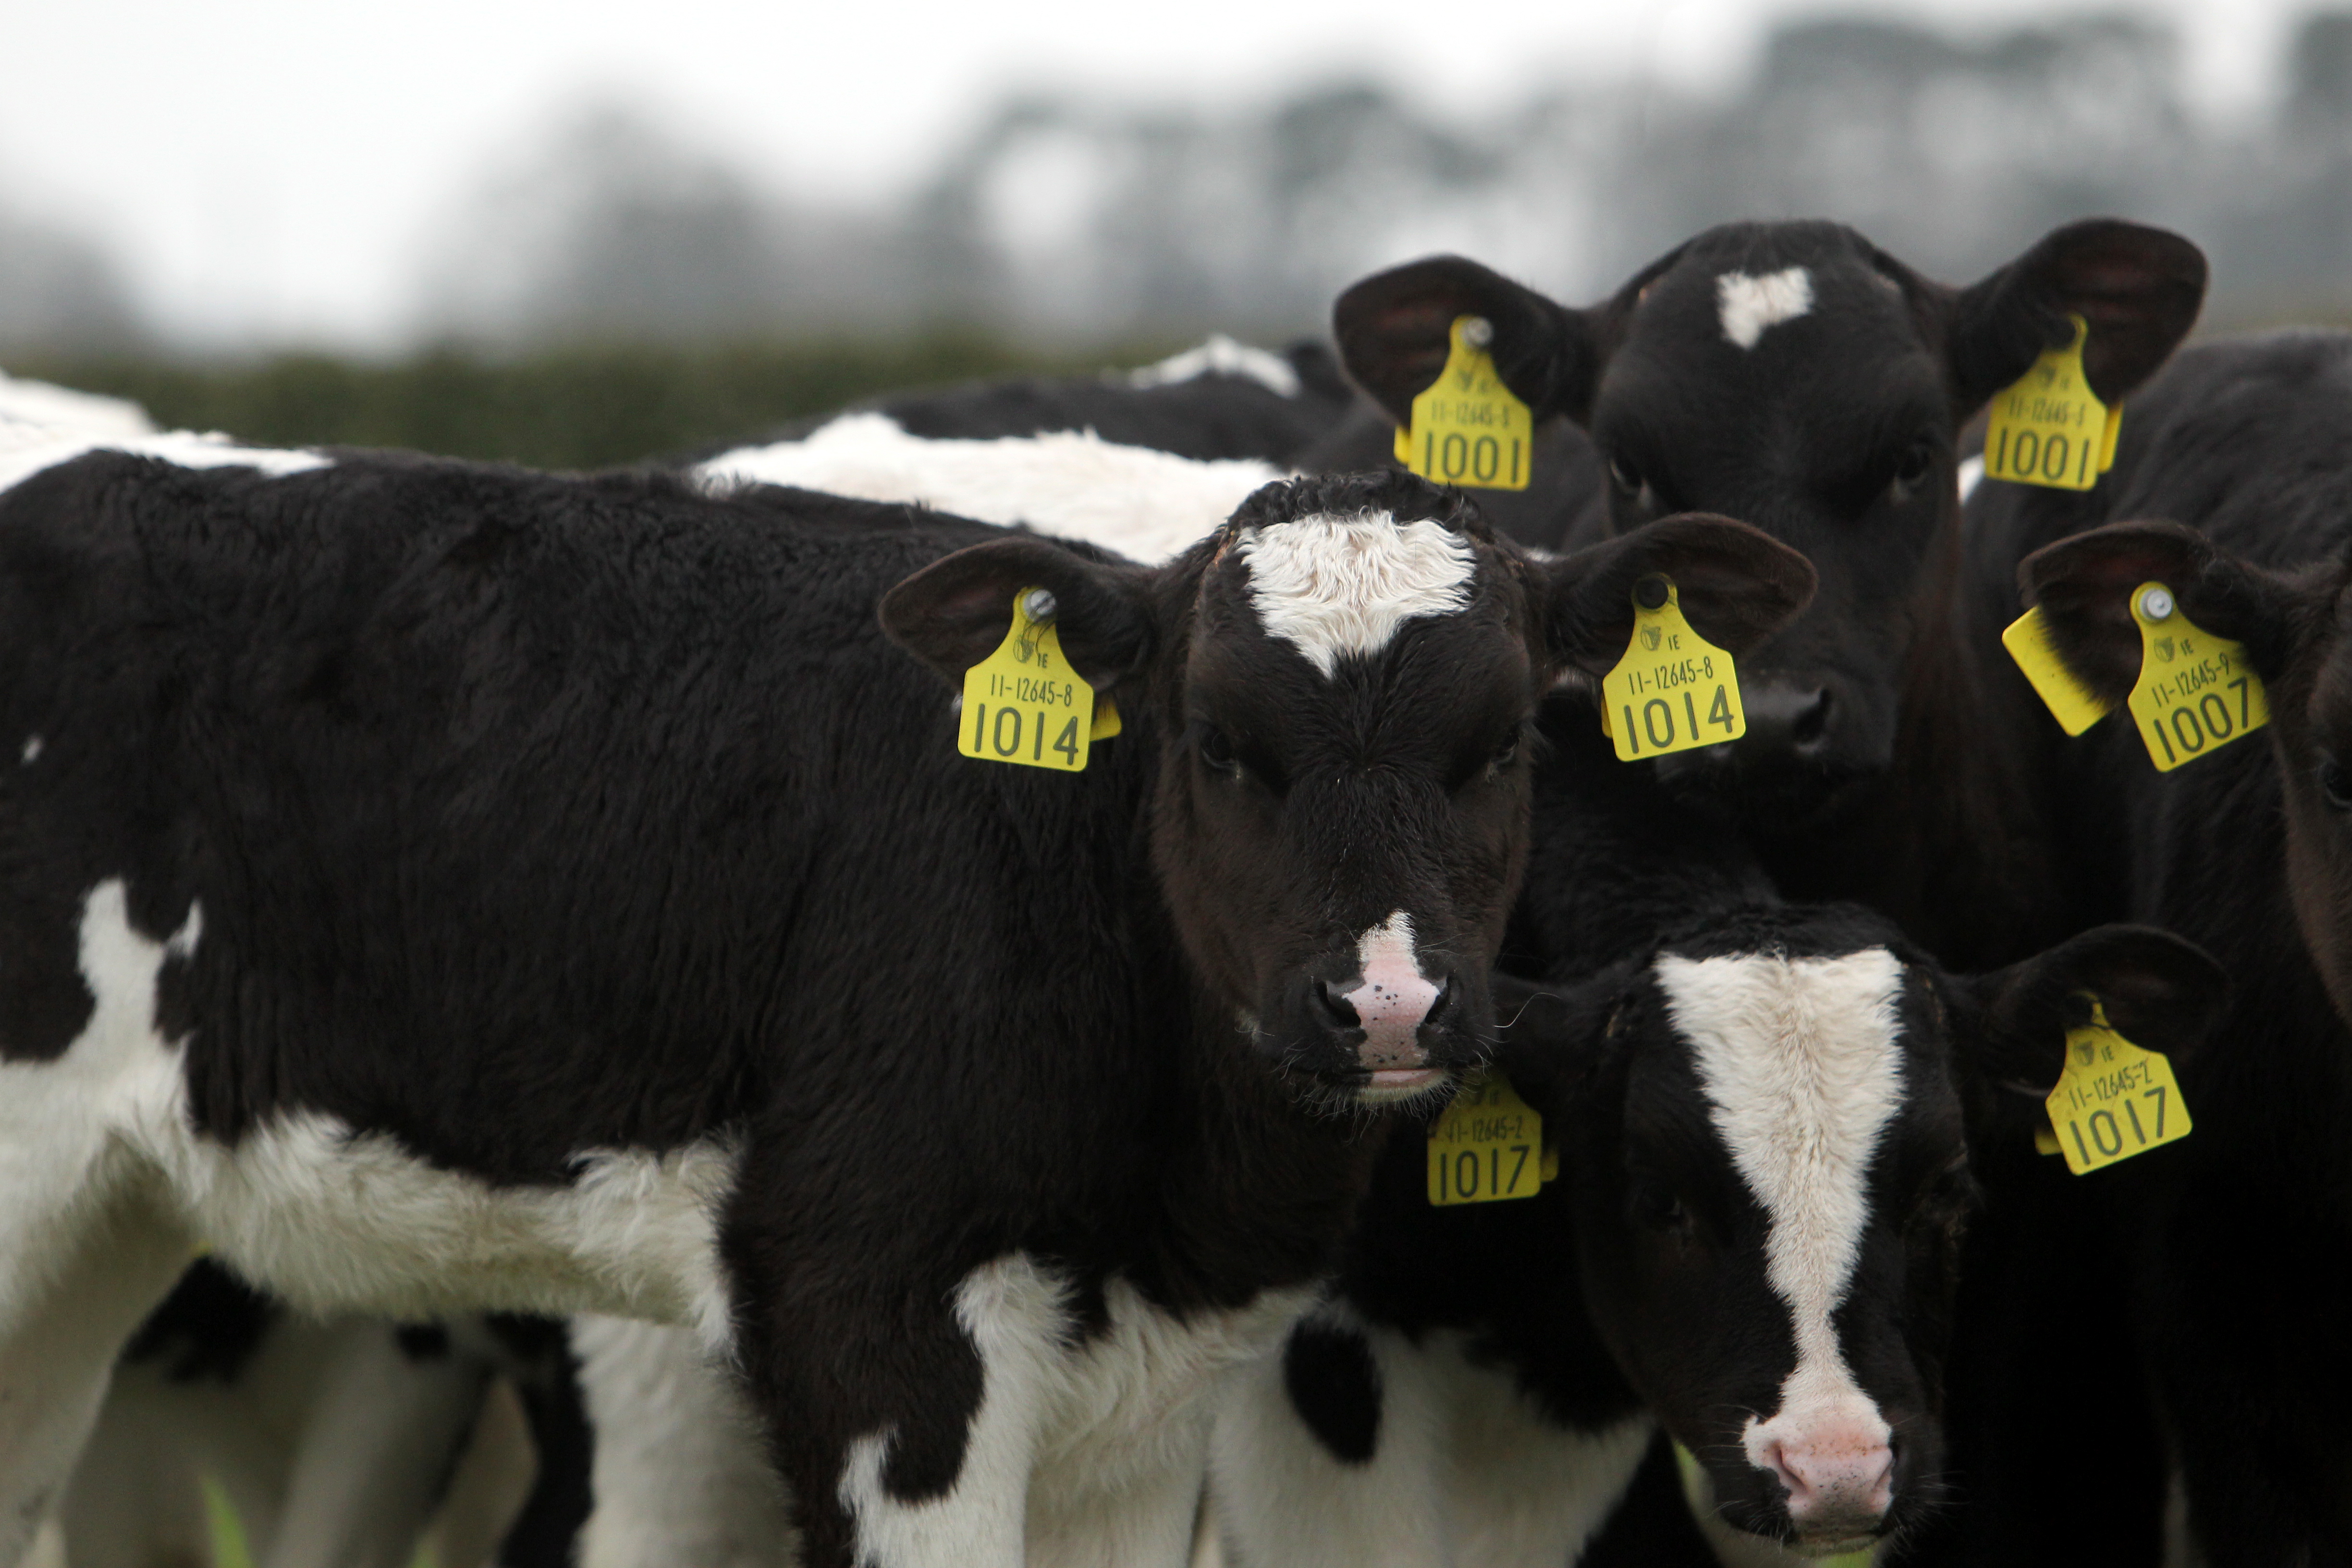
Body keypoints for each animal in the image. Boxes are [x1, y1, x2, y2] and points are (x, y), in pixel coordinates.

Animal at [0, 429, 1811, 1568]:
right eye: (1218, 745)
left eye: (1498, 746)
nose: (1379, 1008)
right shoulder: (872, 1309)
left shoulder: (1147, 1391)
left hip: (99, 1236)